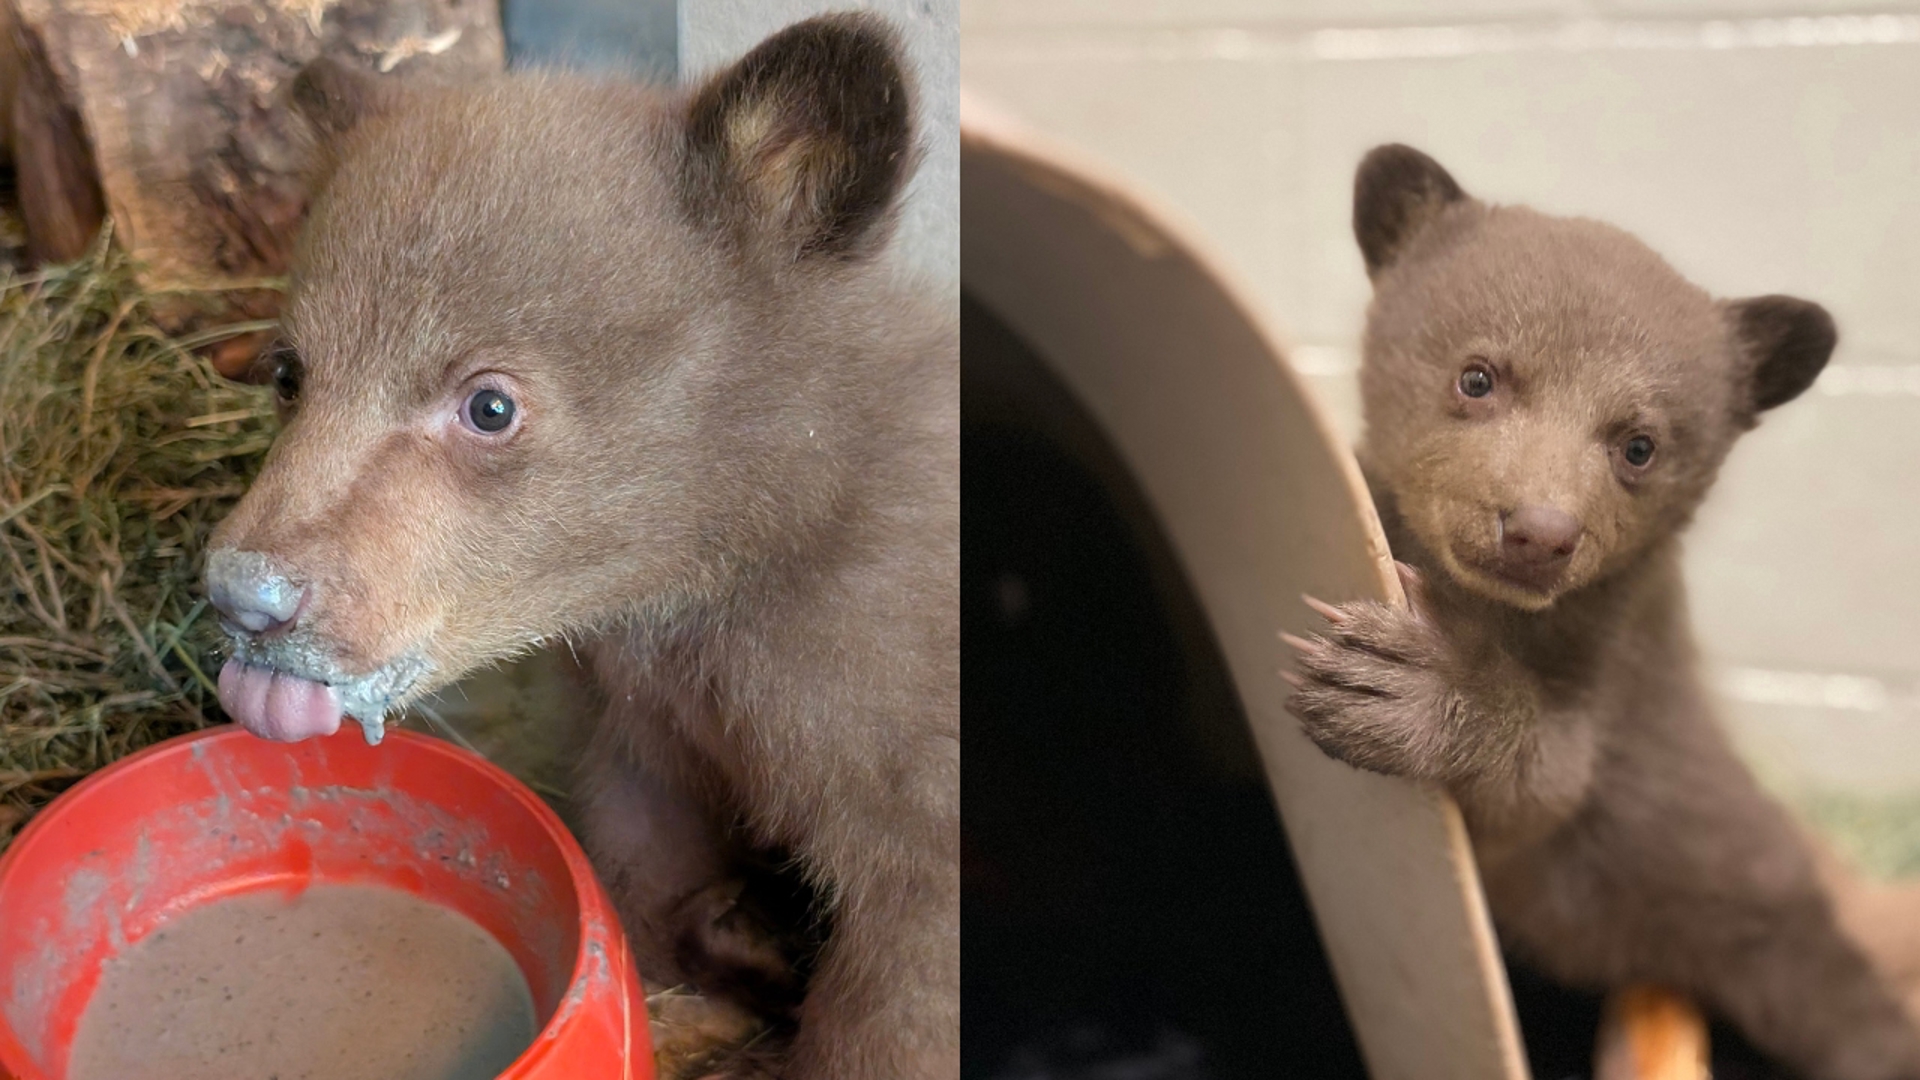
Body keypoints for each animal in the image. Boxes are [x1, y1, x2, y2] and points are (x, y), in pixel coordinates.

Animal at [202, 14, 958, 1080]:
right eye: (288, 375)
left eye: (489, 405)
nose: (243, 596)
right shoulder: (644, 718)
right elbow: (640, 851)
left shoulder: (921, 787)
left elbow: (901, 1007)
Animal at [1282, 144, 1920, 1080]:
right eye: (1477, 376)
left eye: (1639, 445)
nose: (1538, 531)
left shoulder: (1613, 669)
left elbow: (1546, 784)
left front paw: (1397, 685)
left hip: (1765, 921)